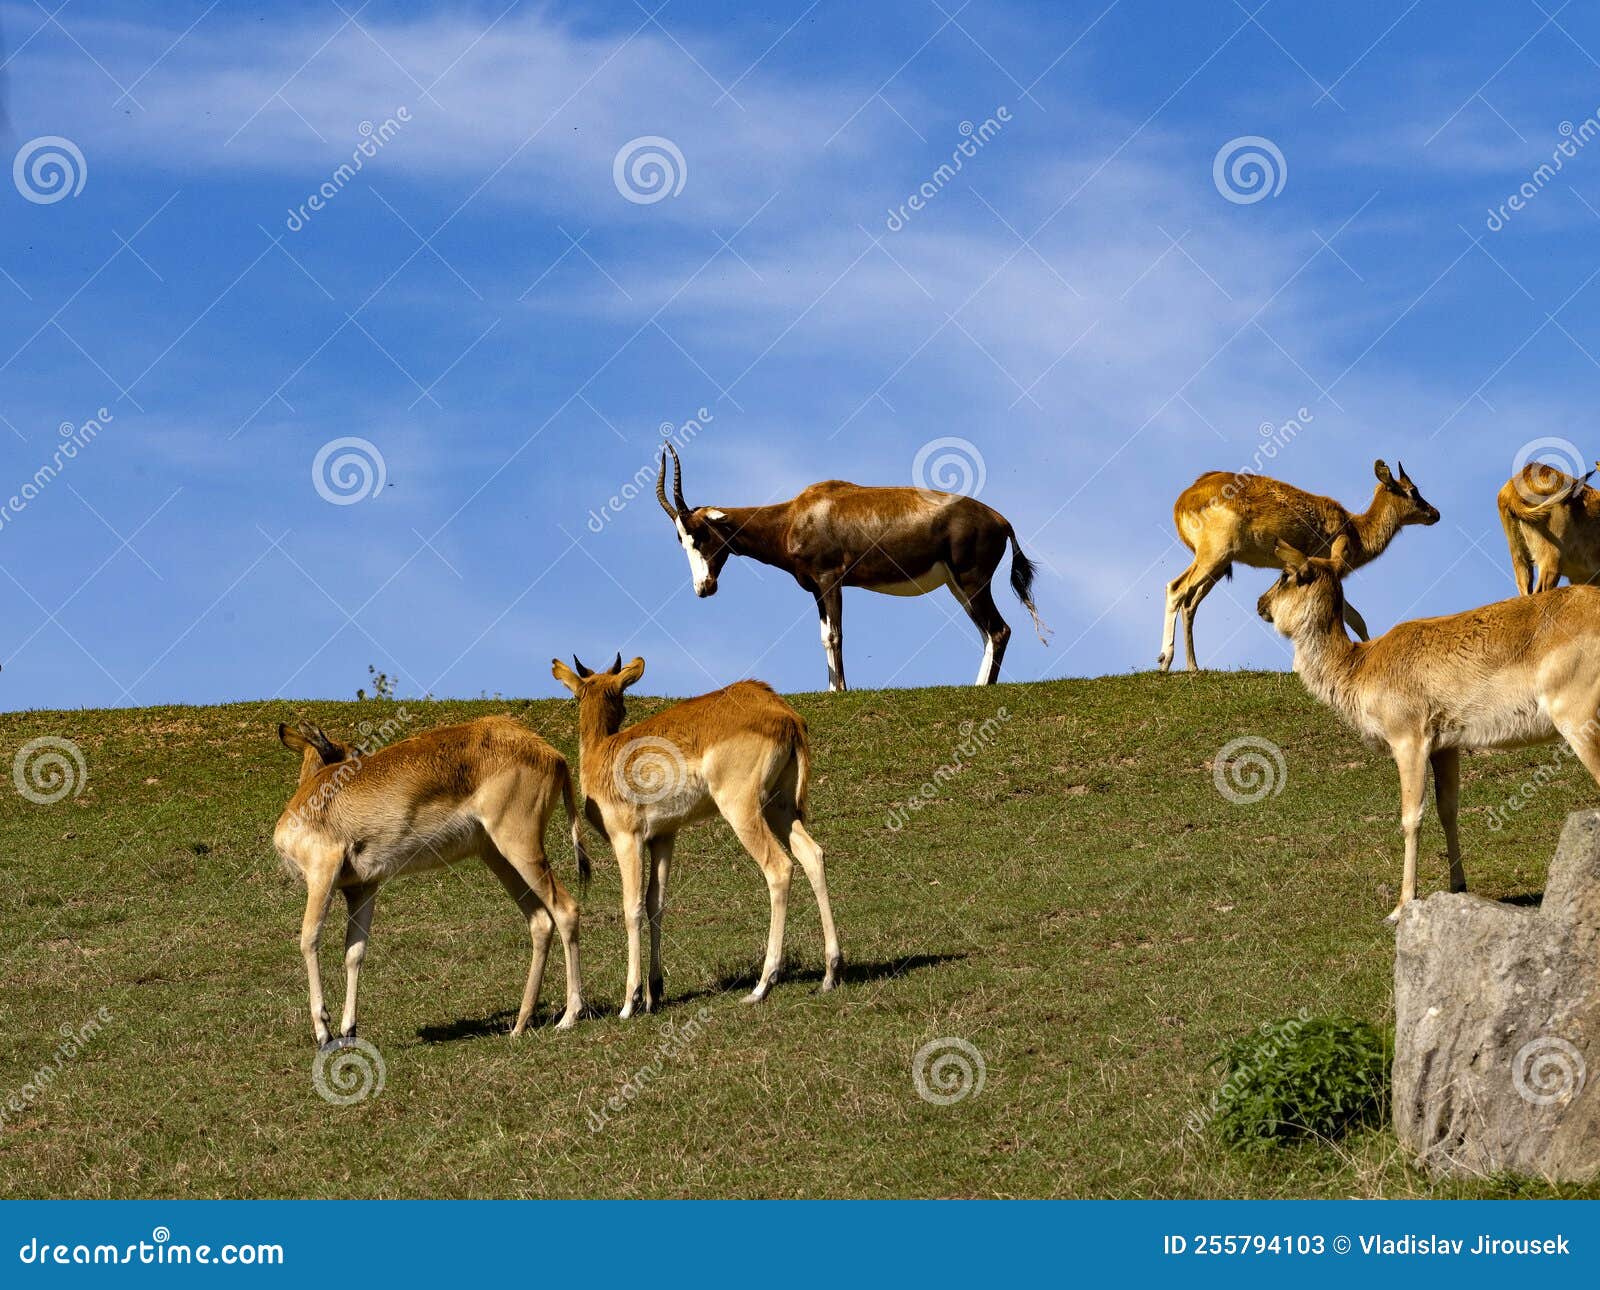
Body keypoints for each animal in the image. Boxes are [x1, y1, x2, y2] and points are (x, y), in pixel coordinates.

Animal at [273, 716, 588, 1048]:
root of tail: (551, 754)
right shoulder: (363, 888)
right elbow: (354, 952)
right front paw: (349, 1030)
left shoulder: (323, 873)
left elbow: (309, 939)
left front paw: (324, 1030)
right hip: (499, 856)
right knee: (540, 920)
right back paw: (520, 1024)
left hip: (520, 848)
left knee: (566, 909)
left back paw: (569, 1017)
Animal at [551, 653, 841, 1017]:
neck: (603, 752)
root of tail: (782, 712)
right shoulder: (663, 838)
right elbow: (655, 903)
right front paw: (654, 993)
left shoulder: (627, 840)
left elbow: (632, 907)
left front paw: (631, 1001)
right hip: (781, 809)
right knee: (812, 854)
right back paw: (830, 973)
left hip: (743, 811)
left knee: (779, 867)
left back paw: (762, 985)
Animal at [655, 443, 1048, 690]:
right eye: (680, 540)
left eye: (700, 535)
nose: (703, 588)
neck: (797, 514)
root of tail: (1001, 520)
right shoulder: (816, 590)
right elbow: (823, 636)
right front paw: (832, 691)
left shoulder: (831, 580)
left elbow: (835, 635)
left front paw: (842, 690)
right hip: (958, 586)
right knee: (987, 633)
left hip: (971, 581)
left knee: (999, 630)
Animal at [1159, 460, 1440, 672]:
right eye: (1413, 490)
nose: (1435, 513)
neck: (1354, 528)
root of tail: (1185, 499)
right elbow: (1351, 616)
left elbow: (1357, 619)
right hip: (1213, 557)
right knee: (1175, 589)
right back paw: (1164, 661)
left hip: (1217, 566)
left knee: (1189, 604)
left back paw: (1193, 667)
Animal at [1258, 534, 1600, 921]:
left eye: (1285, 575)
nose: (1261, 604)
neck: (1361, 664)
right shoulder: (1446, 747)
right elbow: (1447, 809)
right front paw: (1458, 886)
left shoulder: (1409, 740)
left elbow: (1412, 816)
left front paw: (1400, 906)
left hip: (1577, 720)